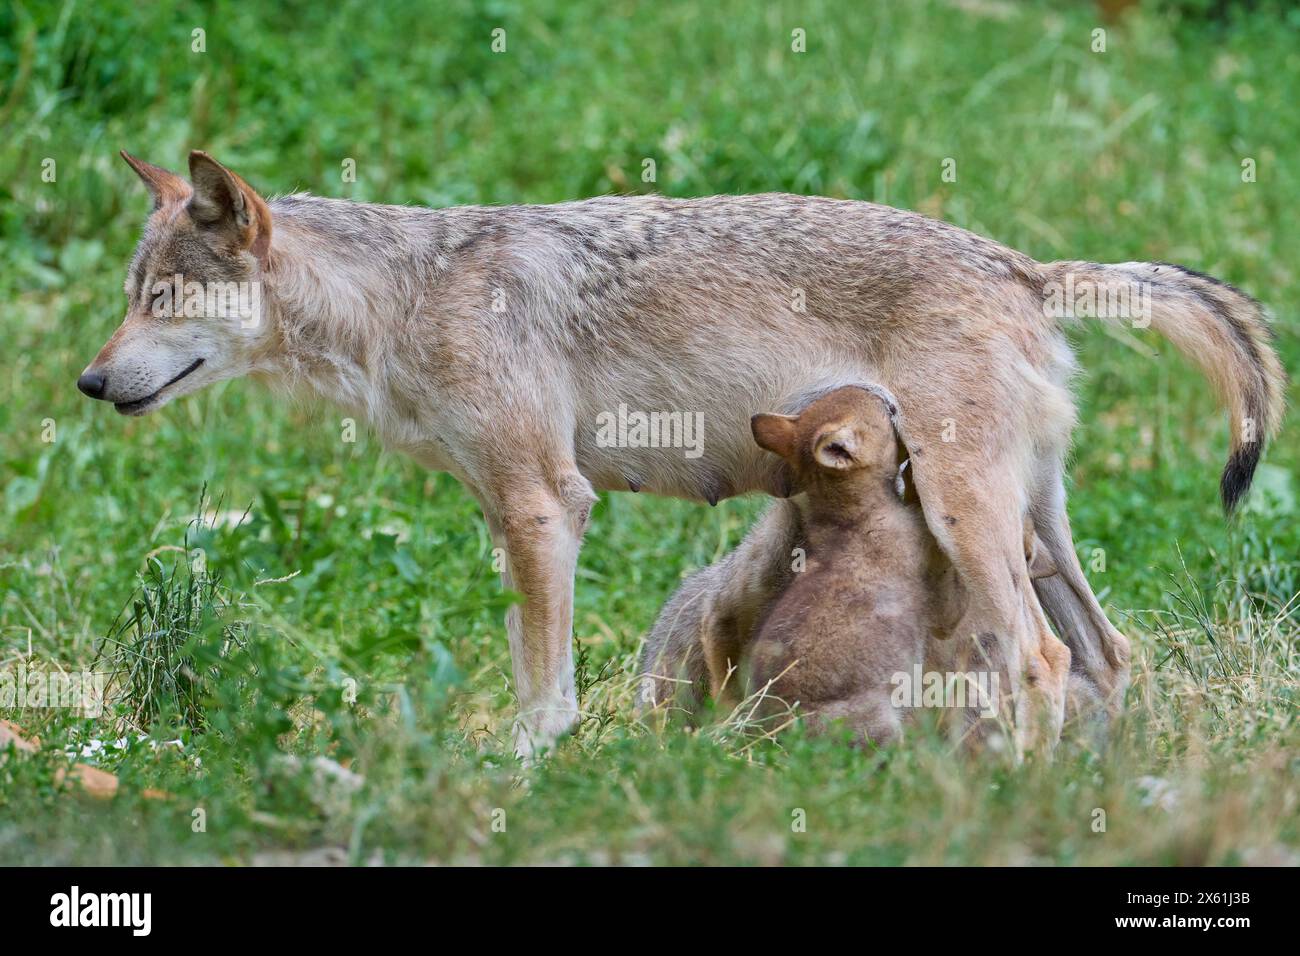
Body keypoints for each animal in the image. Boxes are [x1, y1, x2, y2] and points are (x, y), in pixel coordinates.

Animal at [79, 150, 1284, 758]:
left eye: (165, 298)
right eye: (130, 297)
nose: (89, 383)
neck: (404, 299)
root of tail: (1024, 267)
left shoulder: (546, 504)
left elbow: (546, 691)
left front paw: (526, 769)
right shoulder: (507, 512)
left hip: (967, 521)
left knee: (1037, 659)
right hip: (1033, 531)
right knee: (1107, 656)